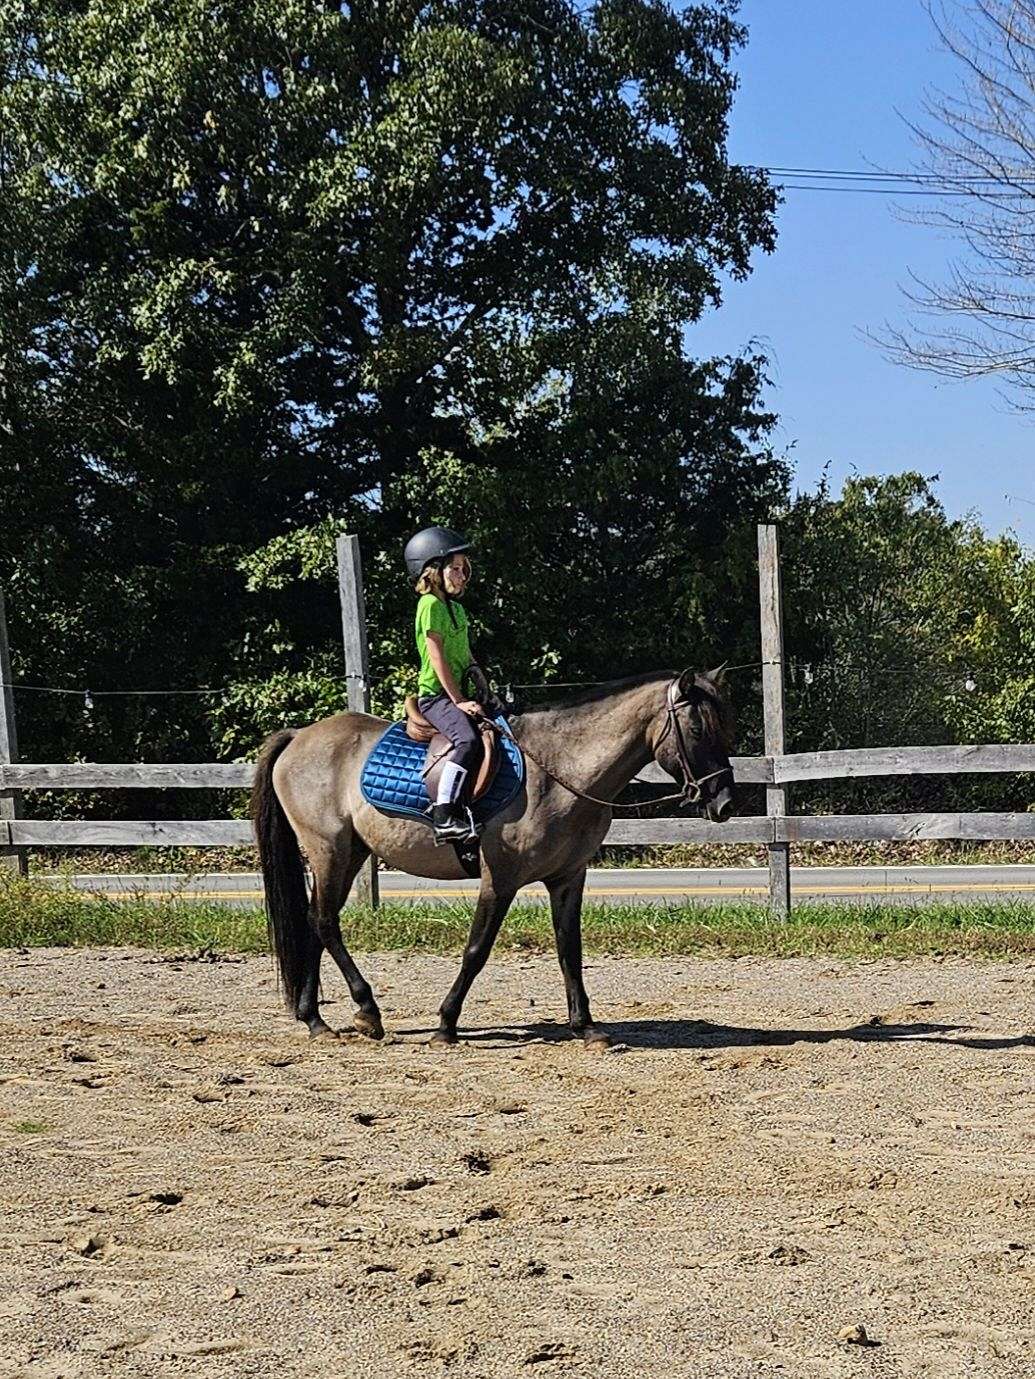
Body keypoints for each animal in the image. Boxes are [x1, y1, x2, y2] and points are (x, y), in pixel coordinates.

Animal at [249, 667, 736, 1051]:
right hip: (328, 850)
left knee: (316, 921)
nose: (725, 802)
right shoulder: (499, 879)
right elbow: (476, 950)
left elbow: (569, 950)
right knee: (325, 922)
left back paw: (316, 1019)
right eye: (697, 731)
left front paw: (585, 1026)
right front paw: (446, 1024)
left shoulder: (568, 878)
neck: (557, 771)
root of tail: (299, 737)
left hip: (350, 854)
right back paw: (366, 1010)